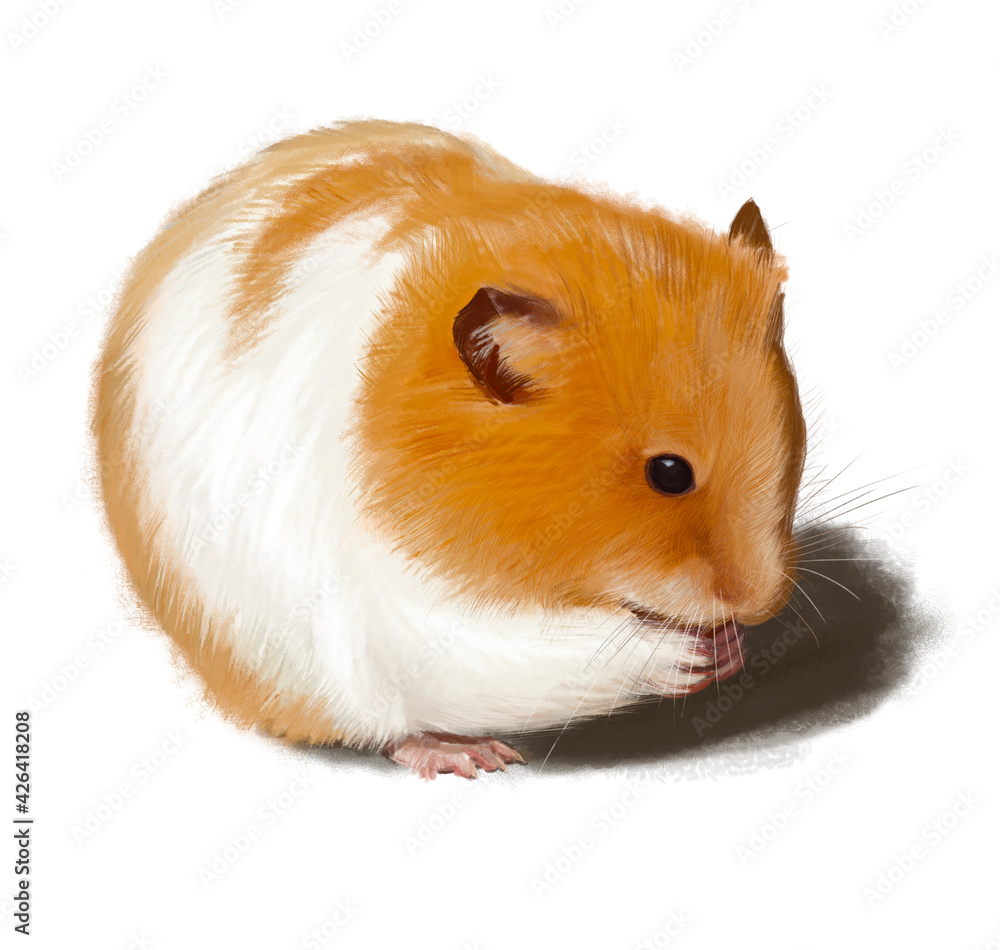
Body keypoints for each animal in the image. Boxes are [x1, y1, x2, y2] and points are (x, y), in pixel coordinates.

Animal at [91, 119, 806, 780]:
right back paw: (471, 755)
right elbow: (566, 654)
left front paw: (732, 646)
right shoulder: (424, 615)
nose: (760, 604)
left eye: (792, 438)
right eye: (669, 473)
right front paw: (701, 653)